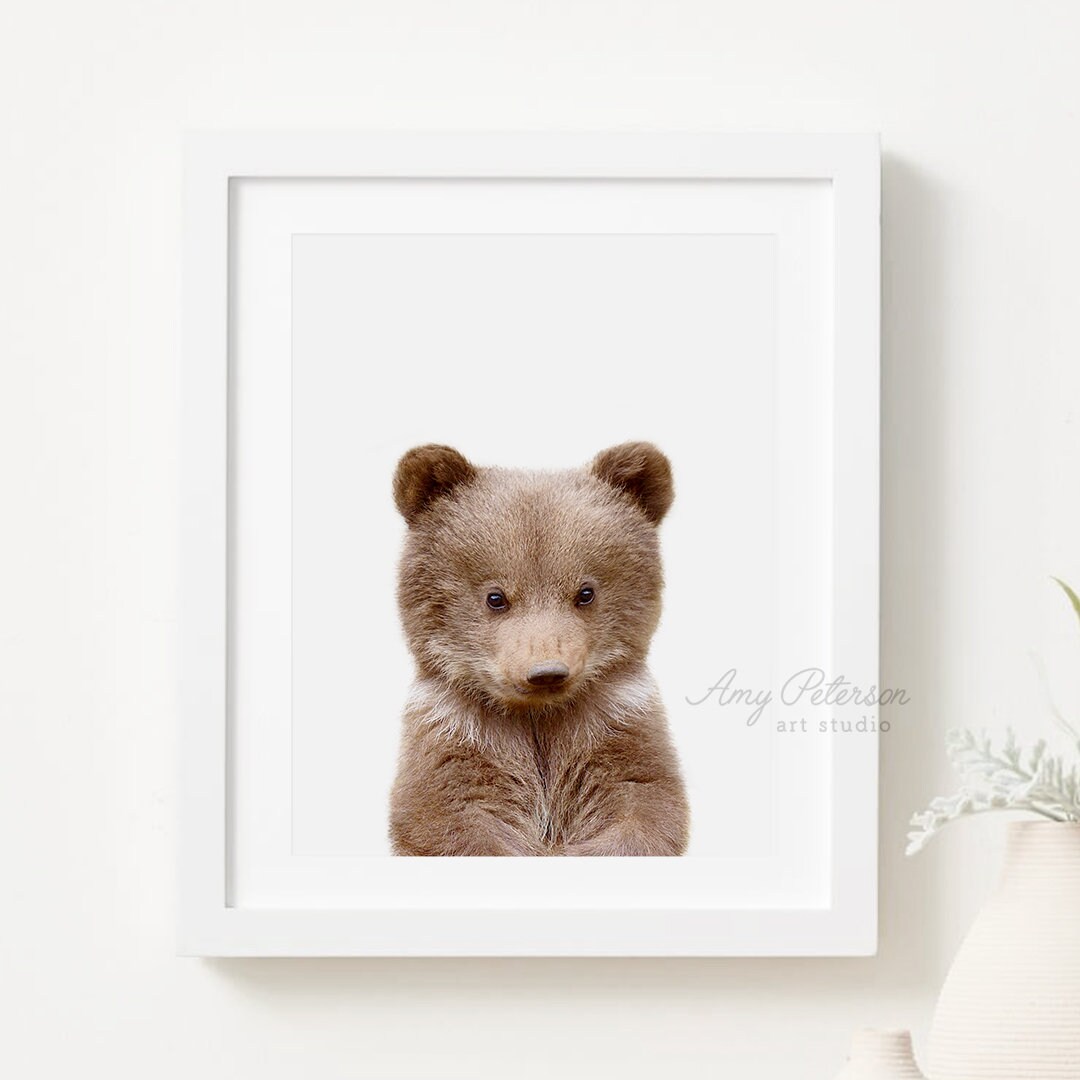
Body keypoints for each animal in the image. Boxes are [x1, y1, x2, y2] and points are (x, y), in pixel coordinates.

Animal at [388, 441, 689, 856]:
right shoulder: (455, 734)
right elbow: (449, 817)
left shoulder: (617, 725)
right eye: (495, 597)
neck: (536, 716)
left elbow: (643, 804)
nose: (547, 672)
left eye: (586, 592)